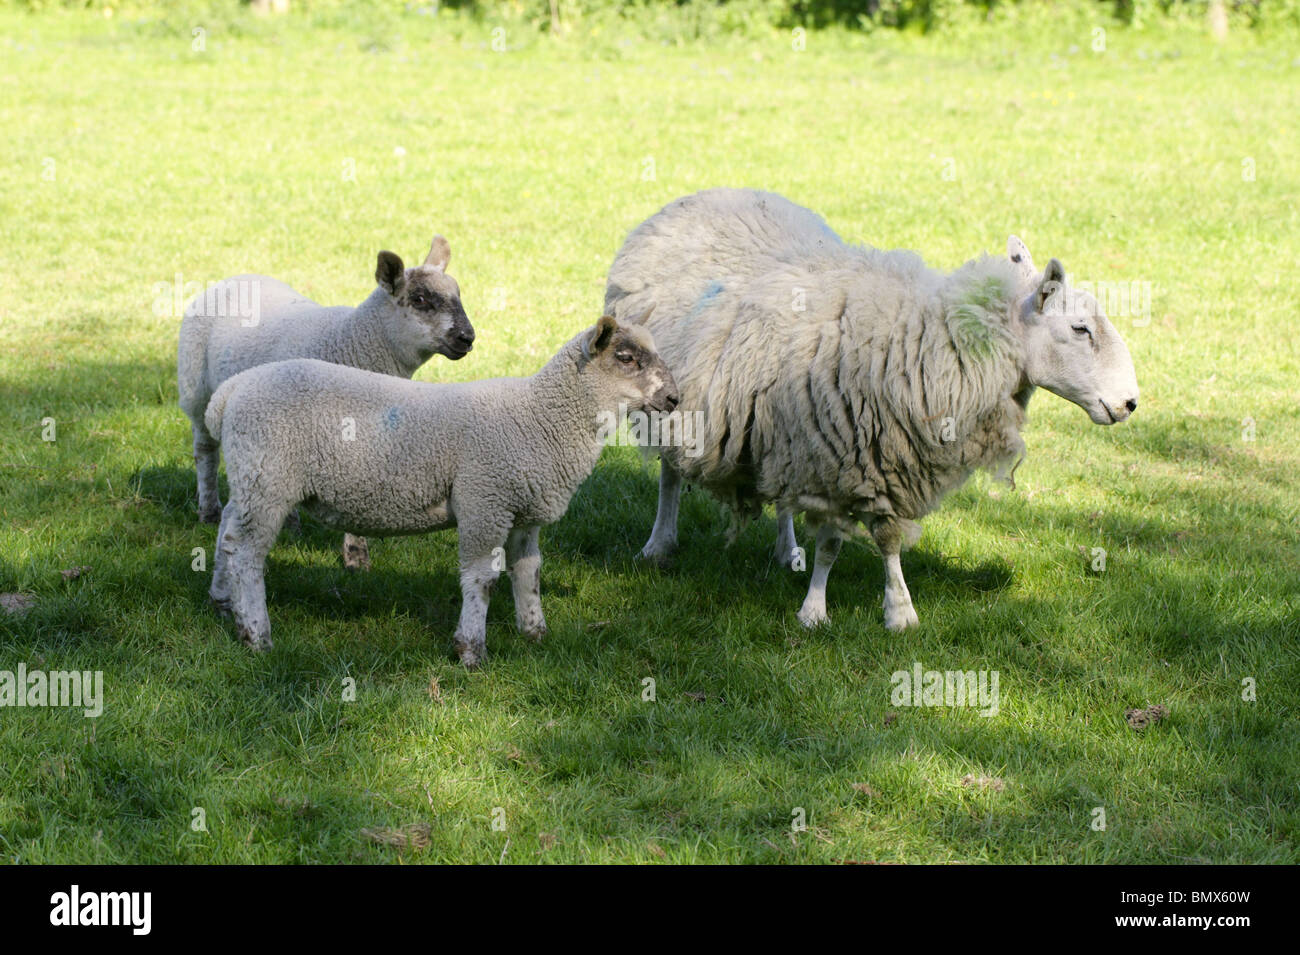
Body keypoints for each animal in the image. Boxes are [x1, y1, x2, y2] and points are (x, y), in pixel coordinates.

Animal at [177, 235, 475, 570]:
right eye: (420, 299)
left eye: (458, 294)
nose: (467, 337)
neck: (352, 343)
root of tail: (234, 278)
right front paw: (356, 557)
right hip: (197, 390)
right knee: (205, 452)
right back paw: (209, 510)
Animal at [203, 309, 678, 667]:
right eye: (626, 357)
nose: (675, 399)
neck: (541, 417)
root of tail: (229, 393)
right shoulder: (485, 501)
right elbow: (482, 581)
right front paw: (471, 651)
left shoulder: (523, 513)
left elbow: (530, 574)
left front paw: (535, 634)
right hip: (269, 481)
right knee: (247, 555)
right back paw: (257, 636)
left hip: (251, 478)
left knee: (227, 534)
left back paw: (225, 605)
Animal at [604, 188, 1140, 631]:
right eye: (1080, 330)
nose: (1130, 403)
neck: (933, 341)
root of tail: (706, 194)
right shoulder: (838, 458)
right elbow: (833, 542)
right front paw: (814, 612)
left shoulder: (877, 460)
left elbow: (888, 539)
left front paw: (899, 611)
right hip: (673, 401)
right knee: (670, 473)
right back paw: (659, 544)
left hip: (779, 427)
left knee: (779, 493)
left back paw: (786, 549)